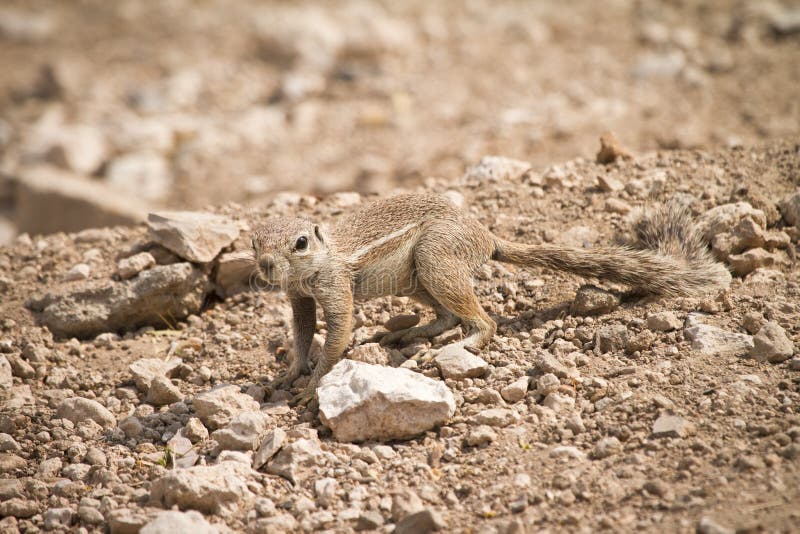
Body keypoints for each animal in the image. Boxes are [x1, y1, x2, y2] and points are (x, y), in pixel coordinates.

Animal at [251, 192, 730, 405]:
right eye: (255, 241)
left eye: (299, 243)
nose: (267, 266)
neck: (318, 262)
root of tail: (487, 236)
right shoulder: (298, 297)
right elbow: (301, 332)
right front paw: (289, 372)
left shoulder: (335, 287)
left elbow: (338, 333)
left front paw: (310, 388)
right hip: (417, 278)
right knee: (446, 317)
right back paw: (409, 335)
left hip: (435, 259)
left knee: (487, 323)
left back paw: (458, 346)